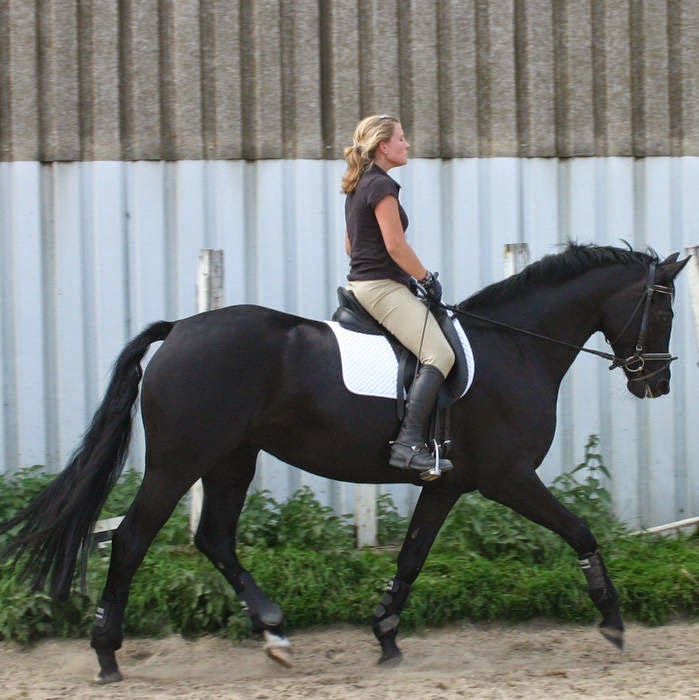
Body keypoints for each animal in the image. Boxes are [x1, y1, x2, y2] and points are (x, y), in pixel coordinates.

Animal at [0, 243, 689, 683]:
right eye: (664, 307)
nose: (655, 383)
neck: (515, 347)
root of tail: (180, 330)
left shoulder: (449, 484)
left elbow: (412, 556)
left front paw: (385, 634)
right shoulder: (508, 477)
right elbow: (580, 530)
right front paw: (613, 621)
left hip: (232, 459)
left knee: (214, 537)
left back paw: (275, 632)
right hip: (180, 461)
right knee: (133, 540)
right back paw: (107, 655)